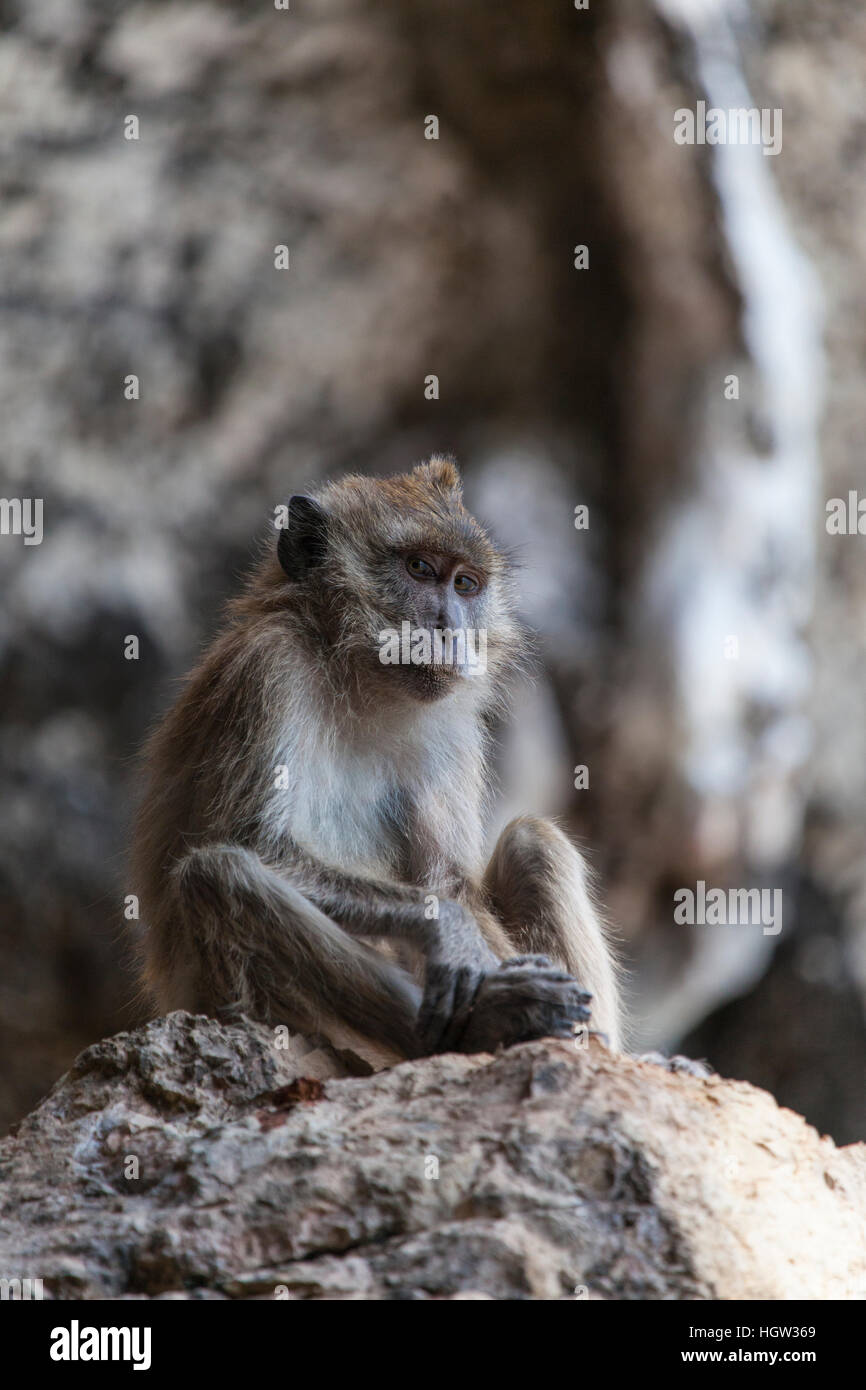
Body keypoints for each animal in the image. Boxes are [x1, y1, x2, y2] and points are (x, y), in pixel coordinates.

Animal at [131, 456, 622, 1064]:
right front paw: (456, 936)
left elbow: (451, 881)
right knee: (218, 875)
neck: (357, 675)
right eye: (420, 569)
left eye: (465, 585)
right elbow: (251, 842)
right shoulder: (267, 668)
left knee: (535, 839)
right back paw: (493, 1021)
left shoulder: (454, 725)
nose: (450, 629)